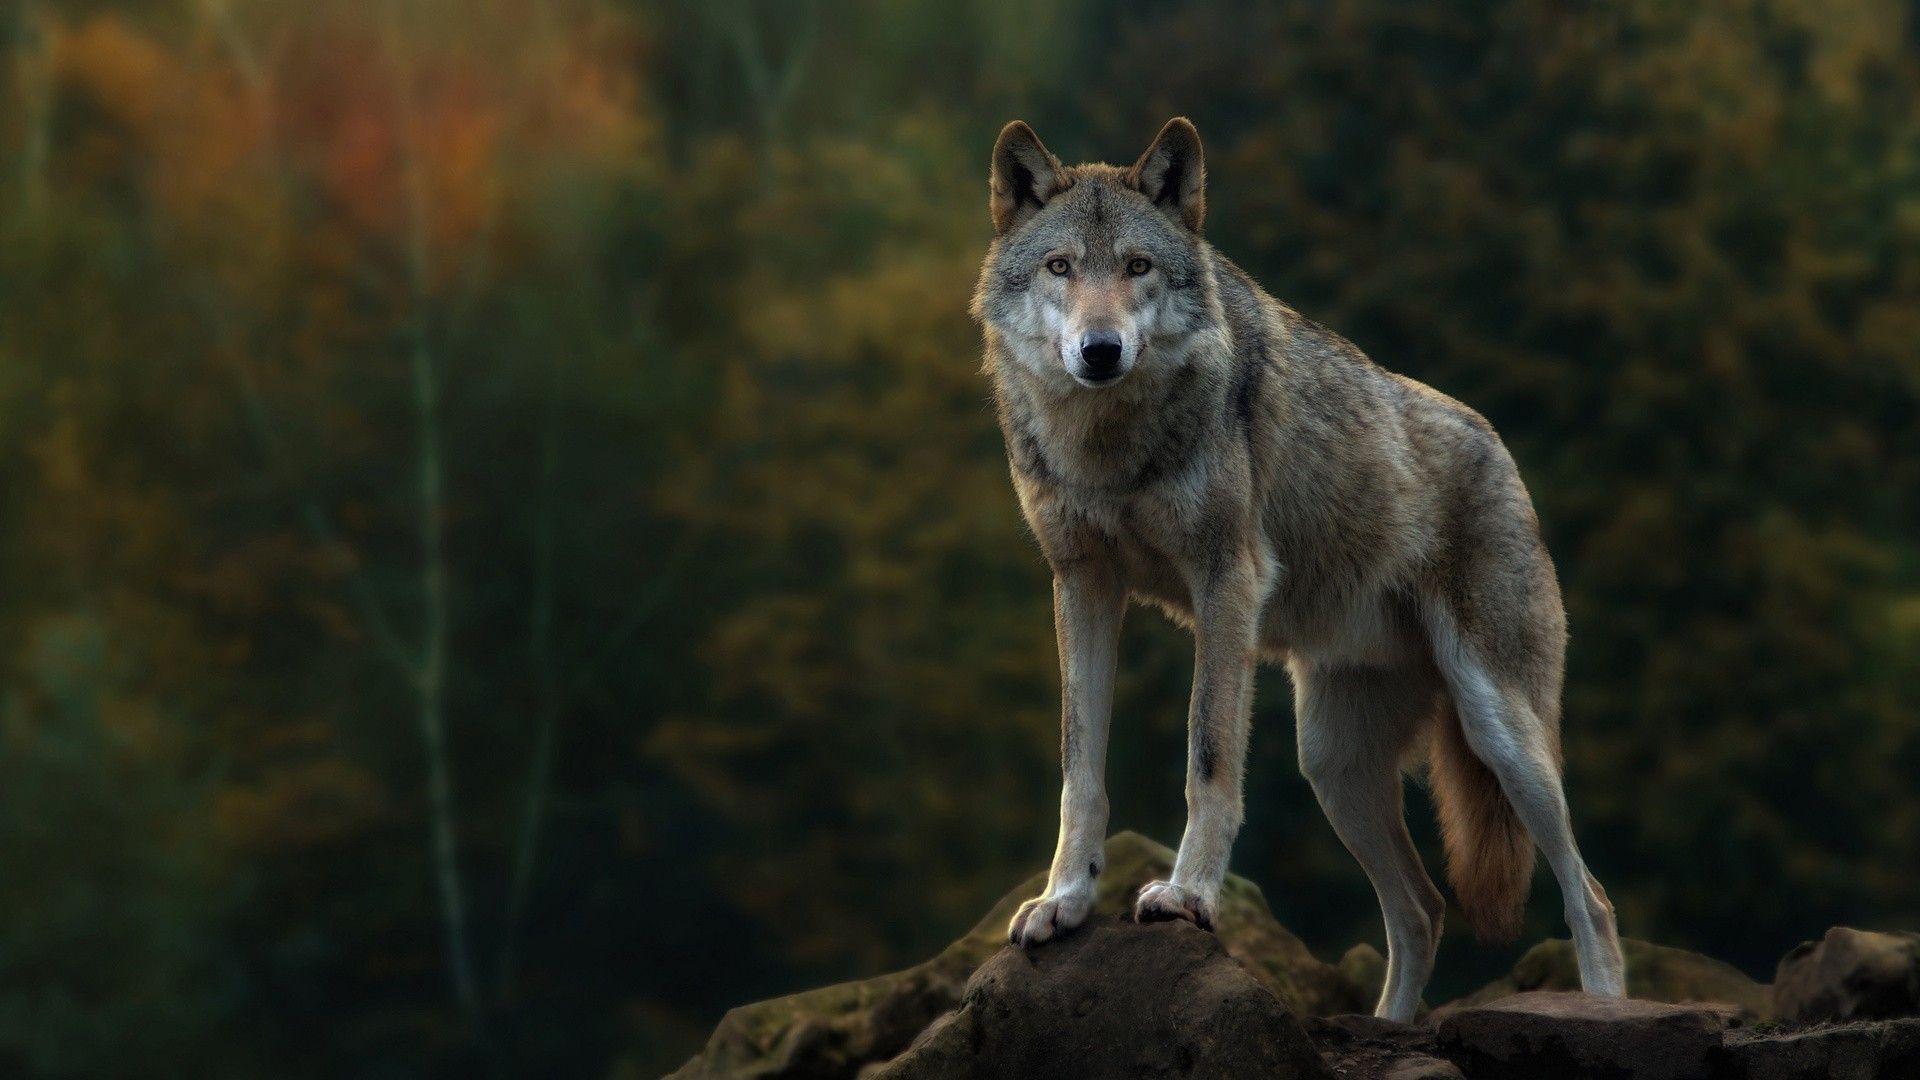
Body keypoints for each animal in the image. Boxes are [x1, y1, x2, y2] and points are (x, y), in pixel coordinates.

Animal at [970, 117, 1627, 1021]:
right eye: (1061, 267)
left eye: (1137, 267)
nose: (1100, 351)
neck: (1110, 447)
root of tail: (1501, 452)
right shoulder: (1082, 585)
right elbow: (1081, 770)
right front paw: (1065, 901)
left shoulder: (1227, 582)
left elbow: (1207, 756)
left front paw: (1187, 895)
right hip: (1331, 762)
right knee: (1422, 909)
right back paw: (1388, 1023)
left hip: (1501, 732)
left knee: (1588, 897)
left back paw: (1606, 1009)